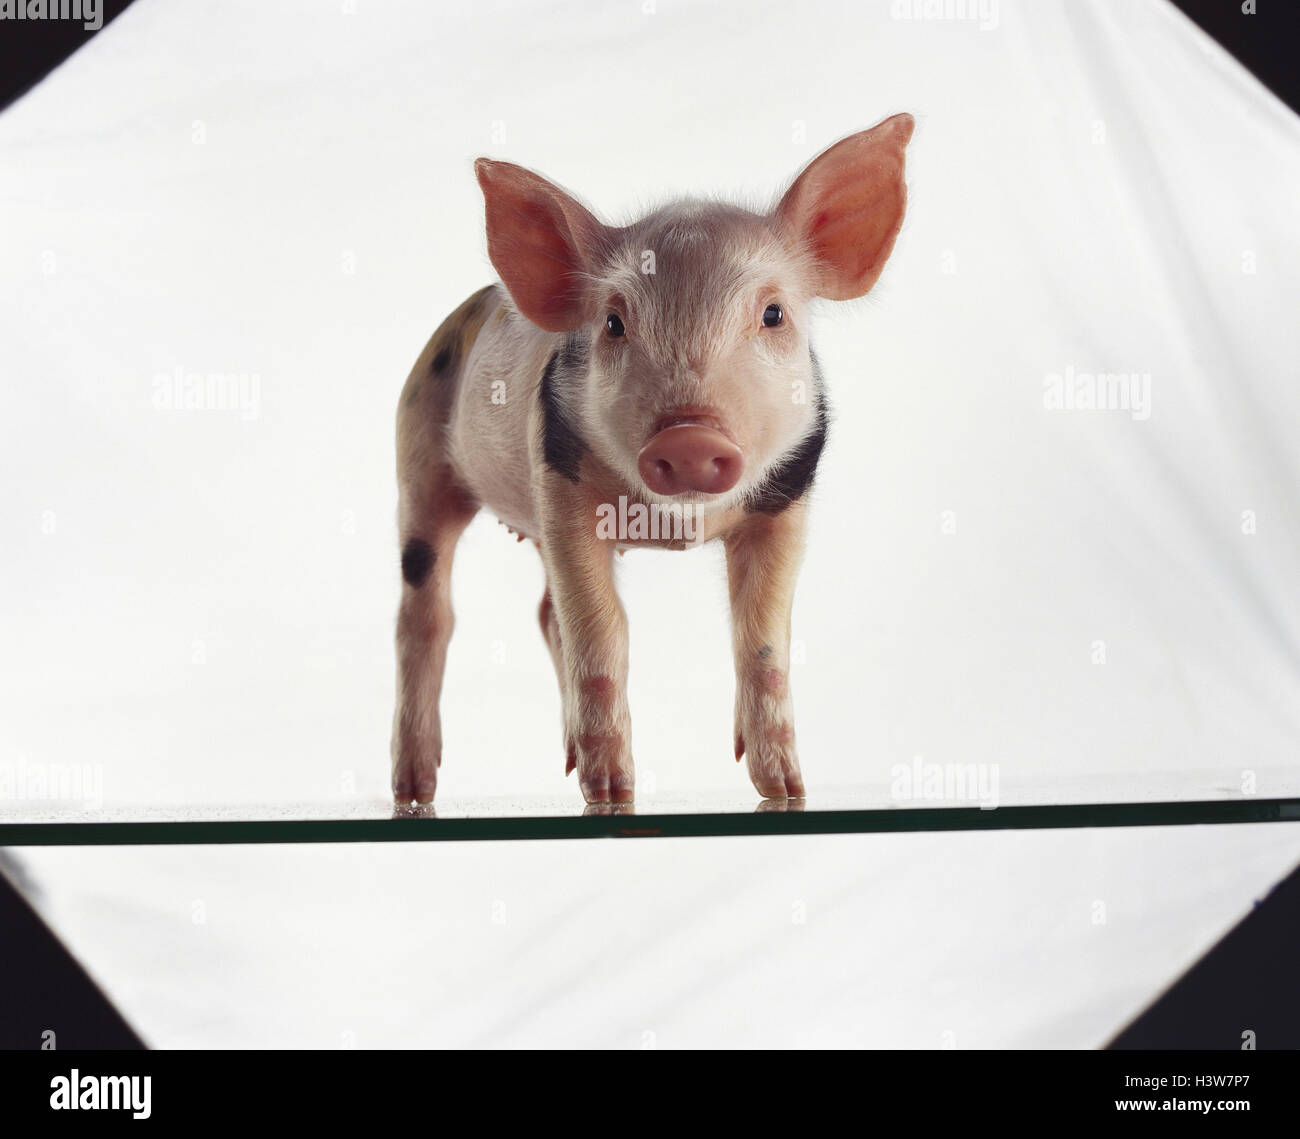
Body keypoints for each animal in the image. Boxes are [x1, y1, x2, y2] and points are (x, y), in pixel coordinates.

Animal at [392, 113, 914, 805]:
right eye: (614, 323)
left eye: (774, 313)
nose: (688, 438)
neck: (680, 523)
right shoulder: (560, 482)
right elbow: (601, 631)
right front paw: (612, 795)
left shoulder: (788, 499)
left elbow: (762, 638)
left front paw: (786, 789)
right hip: (417, 457)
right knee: (426, 615)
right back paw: (414, 789)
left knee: (543, 614)